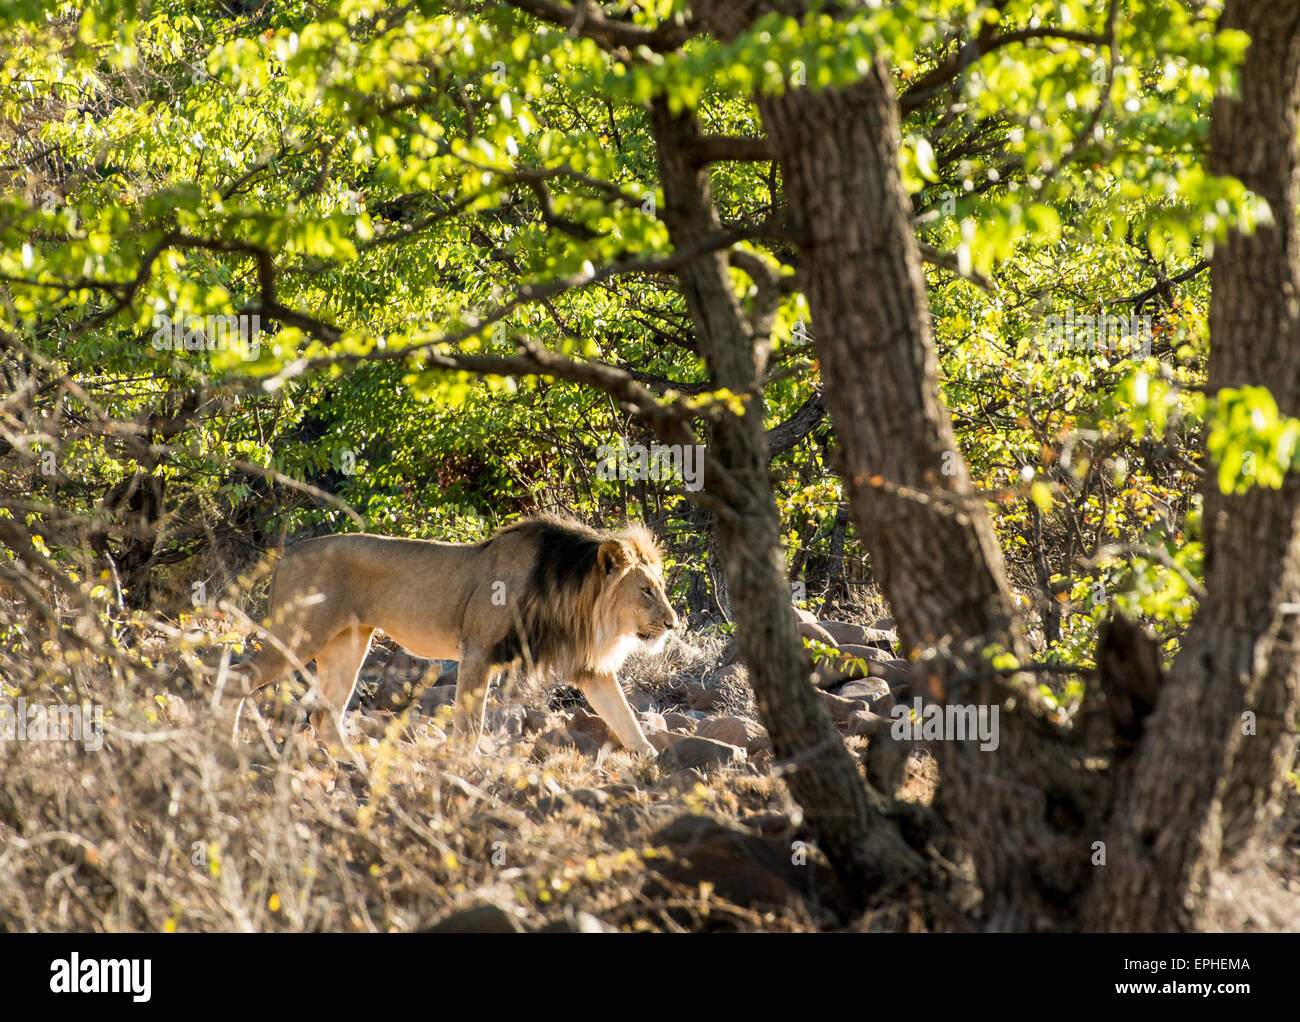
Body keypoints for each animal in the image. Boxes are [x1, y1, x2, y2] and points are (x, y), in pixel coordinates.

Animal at [234, 515, 678, 756]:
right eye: (646, 590)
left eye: (660, 586)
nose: (673, 624)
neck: (575, 596)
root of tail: (284, 557)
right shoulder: (477, 650)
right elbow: (470, 723)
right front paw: (466, 762)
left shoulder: (590, 669)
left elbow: (624, 718)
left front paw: (652, 759)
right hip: (300, 635)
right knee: (242, 677)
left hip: (348, 643)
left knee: (324, 715)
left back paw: (354, 761)